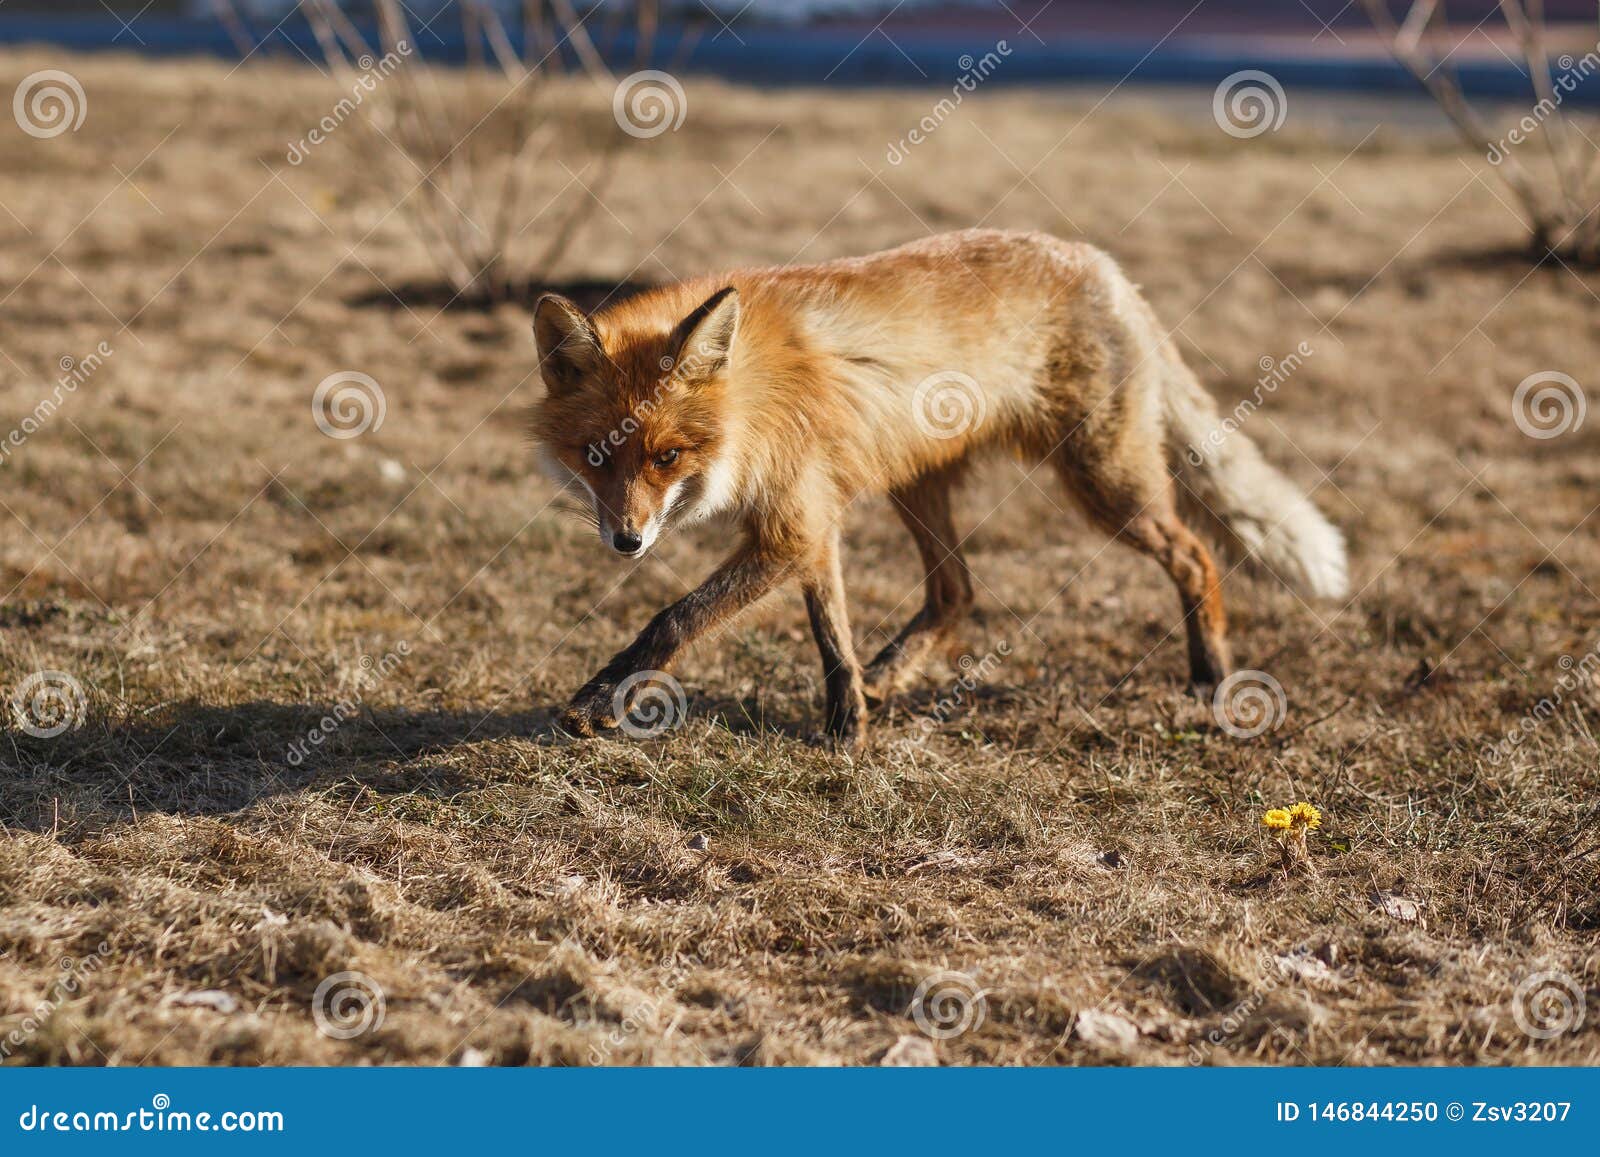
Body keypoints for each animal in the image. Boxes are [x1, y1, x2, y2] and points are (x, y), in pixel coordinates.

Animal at [529, 229, 1348, 750]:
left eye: (668, 455)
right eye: (596, 456)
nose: (627, 541)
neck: (751, 396)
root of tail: (1100, 261)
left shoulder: (793, 524)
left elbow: (673, 620)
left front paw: (597, 701)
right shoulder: (811, 523)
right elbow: (832, 633)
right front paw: (849, 723)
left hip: (1104, 482)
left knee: (1196, 556)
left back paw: (1212, 674)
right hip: (918, 487)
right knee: (957, 592)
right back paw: (888, 679)